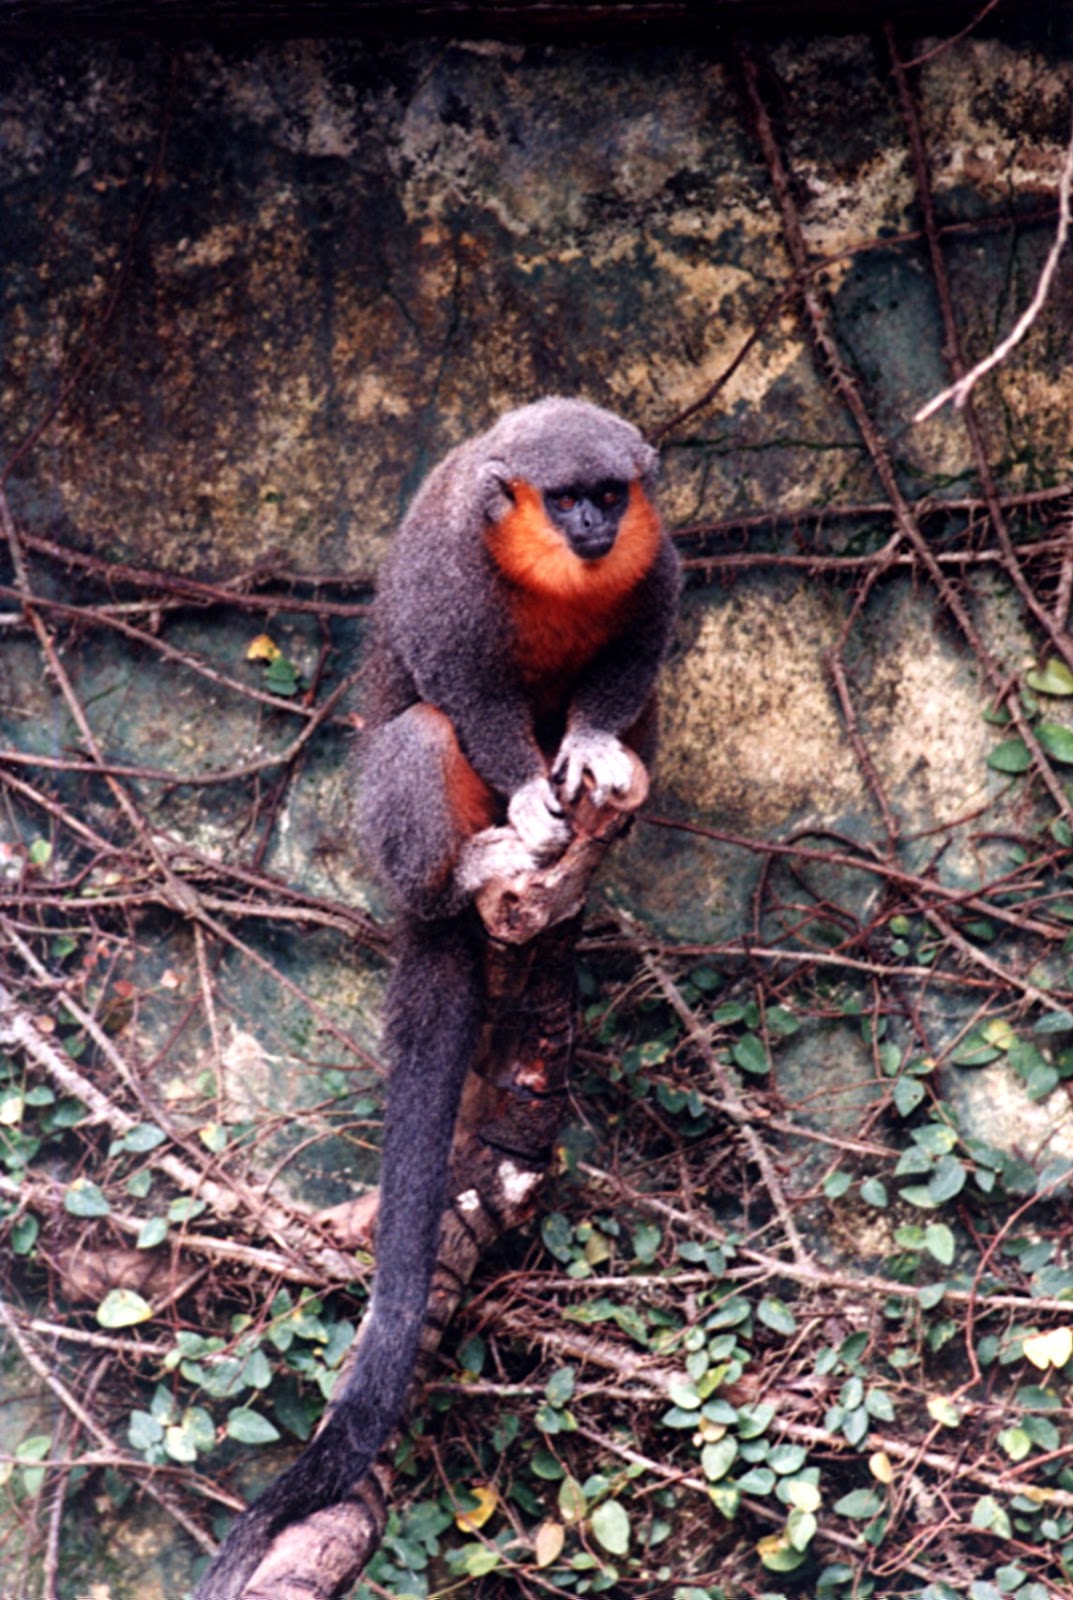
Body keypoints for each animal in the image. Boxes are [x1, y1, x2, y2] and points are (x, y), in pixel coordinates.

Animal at [195, 397, 680, 1600]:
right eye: (568, 497)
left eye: (612, 492)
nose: (596, 524)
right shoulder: (451, 571)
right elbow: (461, 687)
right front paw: (531, 797)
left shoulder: (656, 562)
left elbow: (636, 660)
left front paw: (588, 745)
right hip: (393, 835)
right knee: (418, 734)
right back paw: (467, 874)